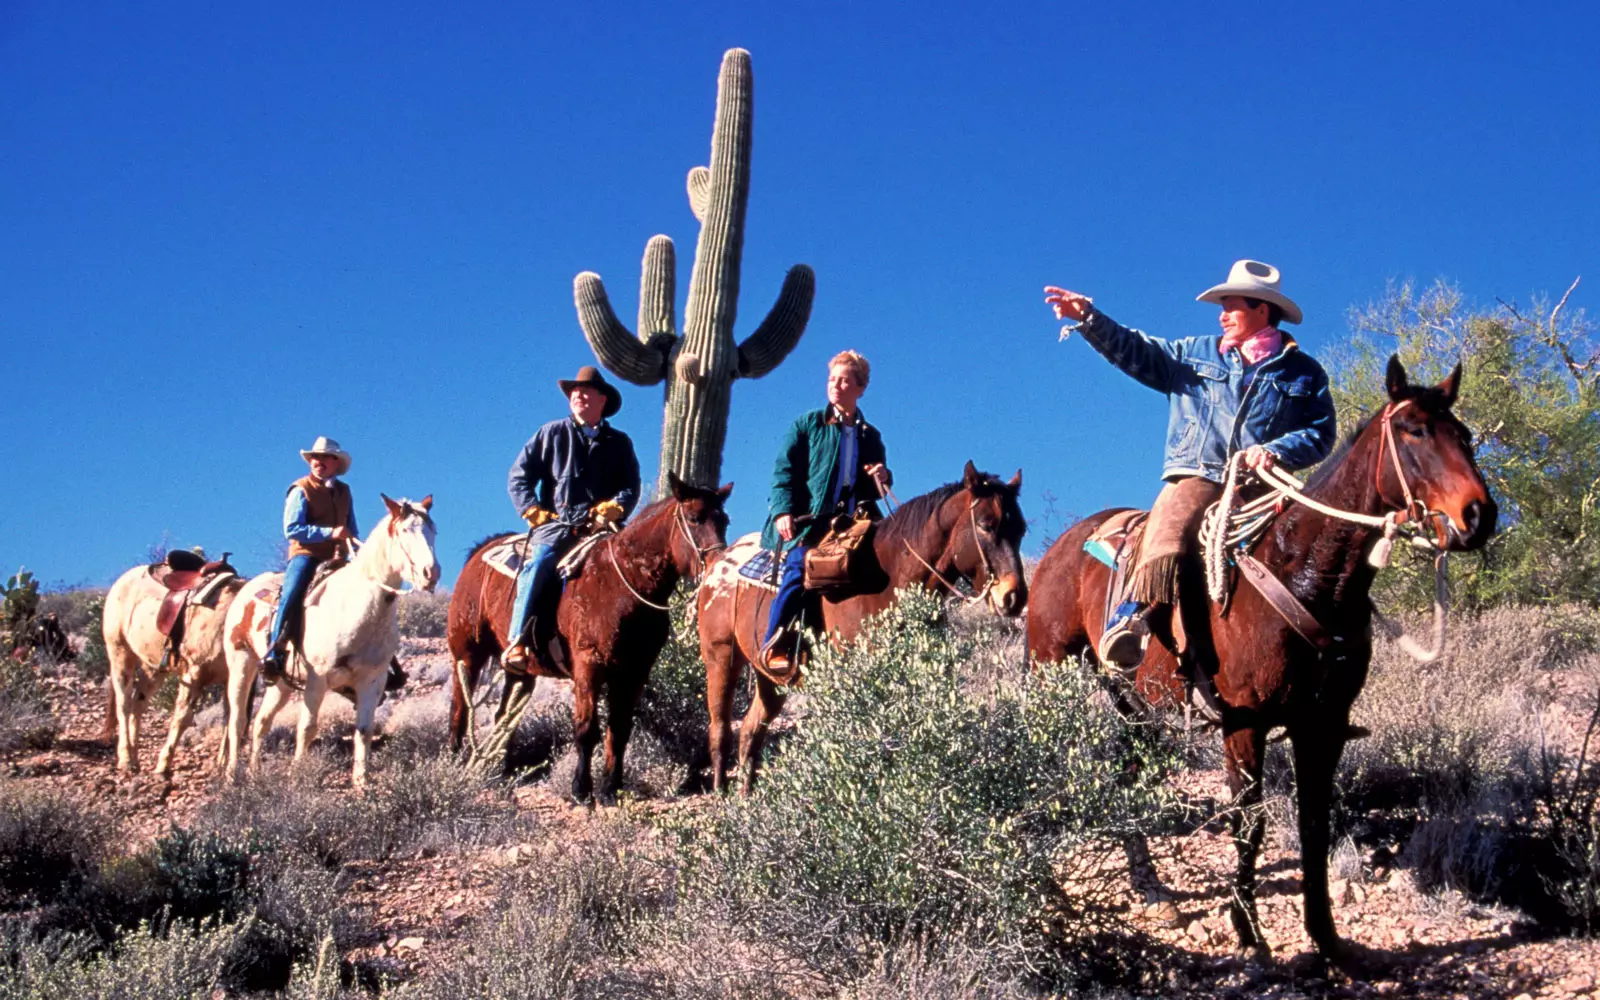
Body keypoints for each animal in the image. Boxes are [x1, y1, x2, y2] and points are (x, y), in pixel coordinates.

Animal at [224, 496, 438, 784]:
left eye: (433, 530)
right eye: (405, 530)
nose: (431, 573)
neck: (357, 608)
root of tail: (246, 588)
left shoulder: (372, 680)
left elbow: (364, 730)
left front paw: (361, 785)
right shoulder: (318, 678)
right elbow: (307, 728)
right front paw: (298, 777)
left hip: (281, 682)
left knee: (261, 722)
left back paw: (255, 774)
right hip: (241, 663)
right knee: (237, 722)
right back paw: (231, 777)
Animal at [444, 473, 732, 803]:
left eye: (724, 521)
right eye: (695, 518)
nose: (719, 567)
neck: (623, 584)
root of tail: (478, 553)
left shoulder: (634, 673)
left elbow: (619, 729)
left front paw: (611, 788)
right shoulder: (588, 665)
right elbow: (586, 729)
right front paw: (581, 789)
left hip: (519, 672)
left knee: (504, 715)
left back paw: (500, 770)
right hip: (467, 654)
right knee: (459, 707)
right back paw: (453, 761)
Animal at [697, 460, 1024, 796]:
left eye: (1021, 530)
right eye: (985, 525)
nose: (1014, 596)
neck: (889, 579)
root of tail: (718, 562)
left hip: (771, 678)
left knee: (751, 732)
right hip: (720, 655)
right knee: (720, 727)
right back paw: (720, 792)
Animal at [1030, 355, 1491, 966]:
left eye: (1464, 436)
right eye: (1414, 429)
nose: (1479, 515)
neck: (1305, 575)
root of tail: (1058, 548)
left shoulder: (1323, 725)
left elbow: (1314, 824)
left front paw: (1326, 938)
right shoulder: (1243, 724)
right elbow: (1250, 823)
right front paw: (1248, 931)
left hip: (1136, 705)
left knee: (1127, 778)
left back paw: (1152, 891)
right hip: (1048, 674)